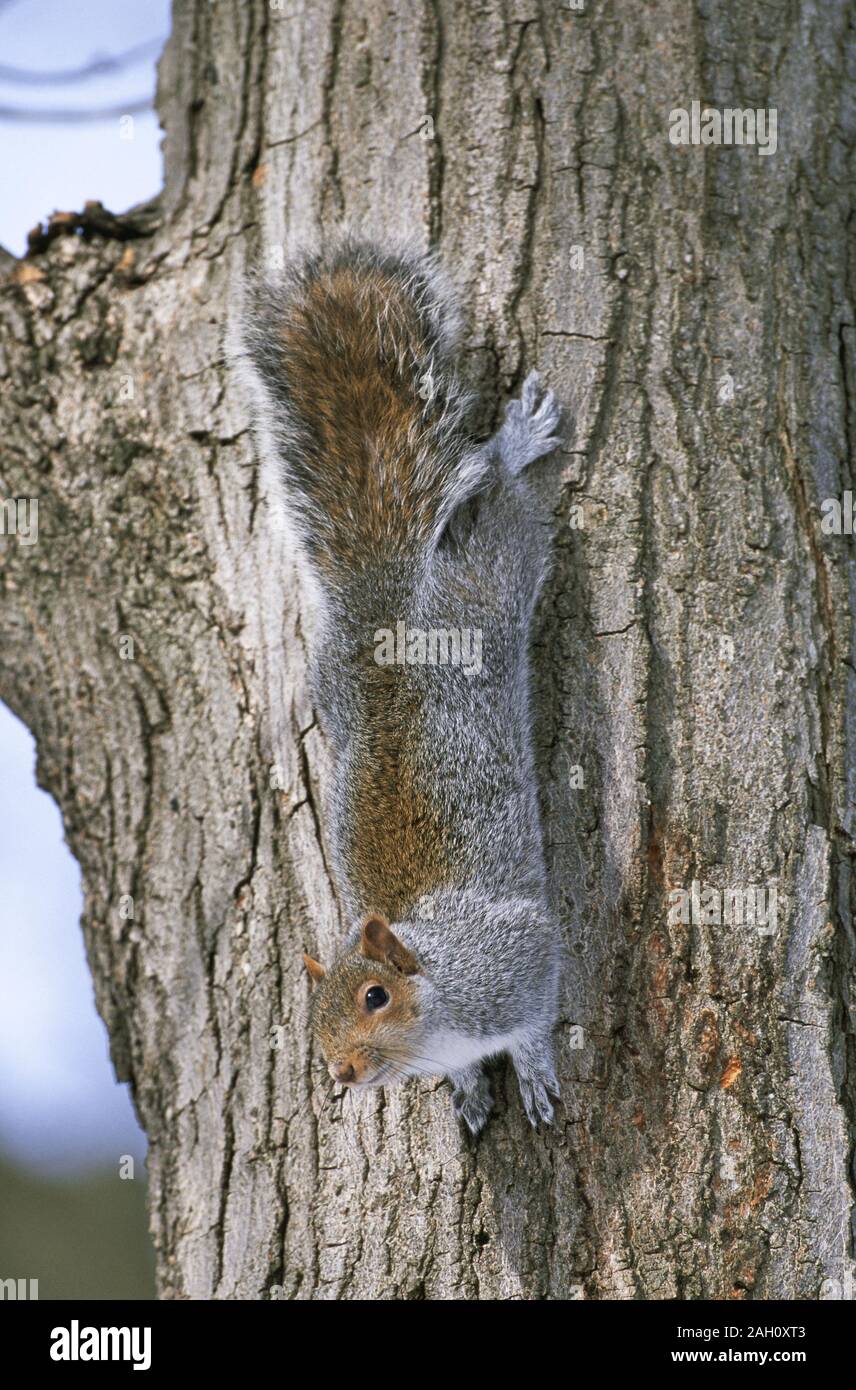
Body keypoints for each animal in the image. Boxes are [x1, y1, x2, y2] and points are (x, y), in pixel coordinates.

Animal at [234, 236, 563, 1133]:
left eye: (376, 996)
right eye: (314, 1019)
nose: (342, 1072)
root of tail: (388, 609)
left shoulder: (518, 956)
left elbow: (539, 1012)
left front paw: (533, 1069)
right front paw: (469, 1089)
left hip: (484, 598)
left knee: (505, 512)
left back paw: (515, 445)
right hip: (329, 682)